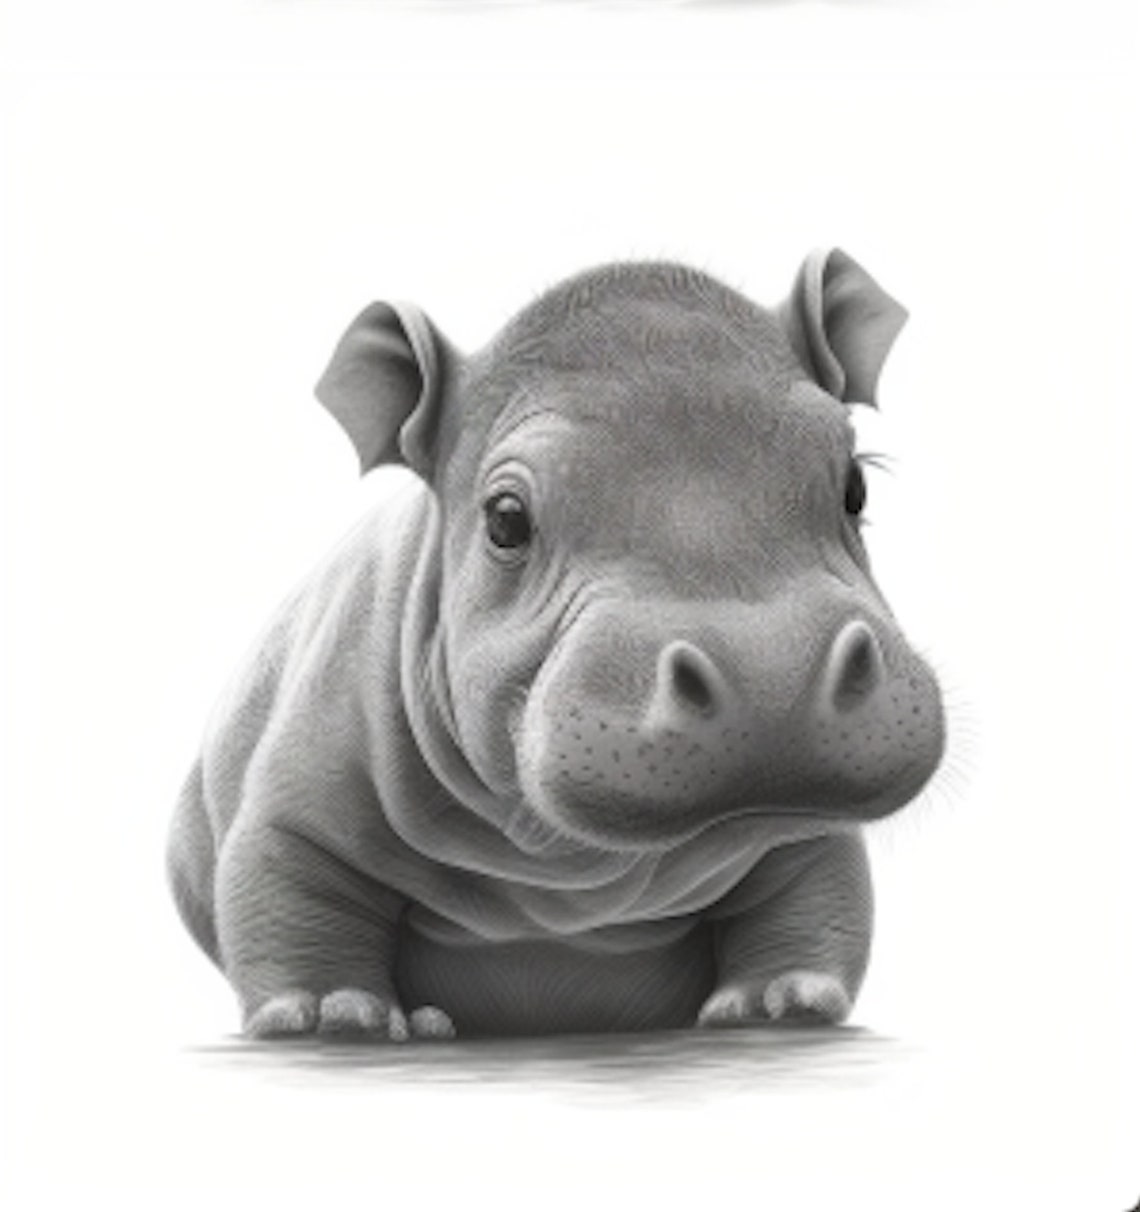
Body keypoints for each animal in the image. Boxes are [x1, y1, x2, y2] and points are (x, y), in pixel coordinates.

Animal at [167, 248, 944, 1041]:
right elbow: (289, 882)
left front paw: (778, 1005)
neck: (569, 868)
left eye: (856, 487)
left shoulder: (804, 840)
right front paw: (332, 1017)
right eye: (506, 519)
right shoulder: (305, 780)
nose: (772, 678)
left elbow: (816, 888)